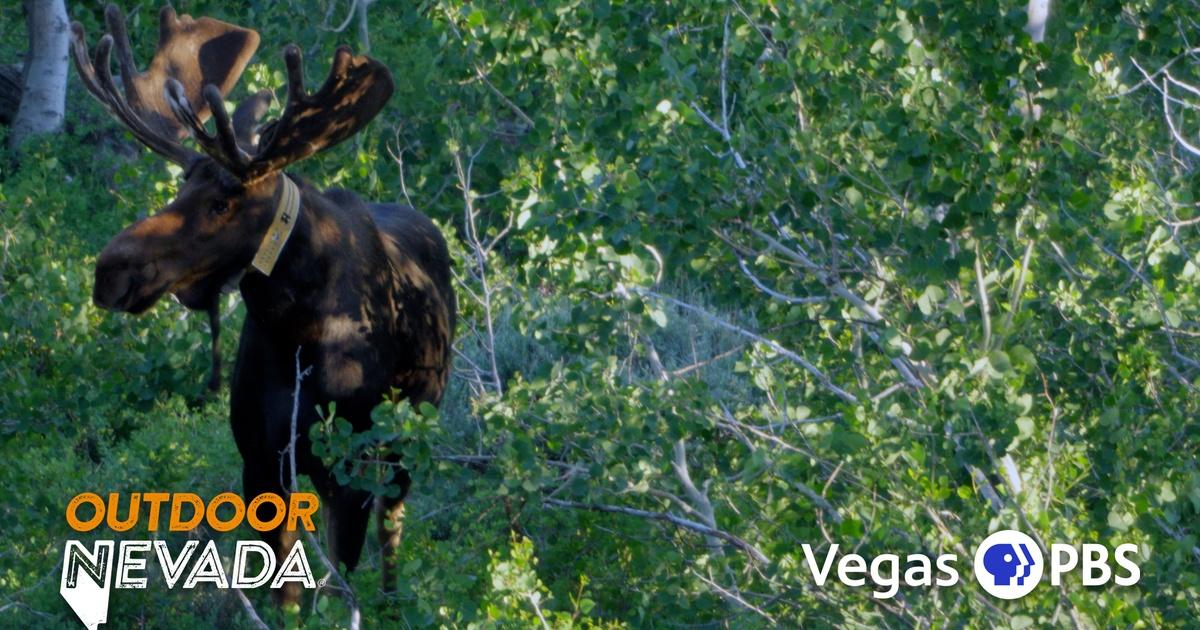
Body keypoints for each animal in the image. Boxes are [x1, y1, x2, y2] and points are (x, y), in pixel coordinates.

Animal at [70, 5, 456, 604]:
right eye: (180, 186)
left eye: (222, 201)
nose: (110, 270)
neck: (296, 326)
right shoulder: (261, 462)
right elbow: (285, 593)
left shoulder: (349, 462)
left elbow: (338, 586)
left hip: (407, 439)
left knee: (392, 532)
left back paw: (393, 606)